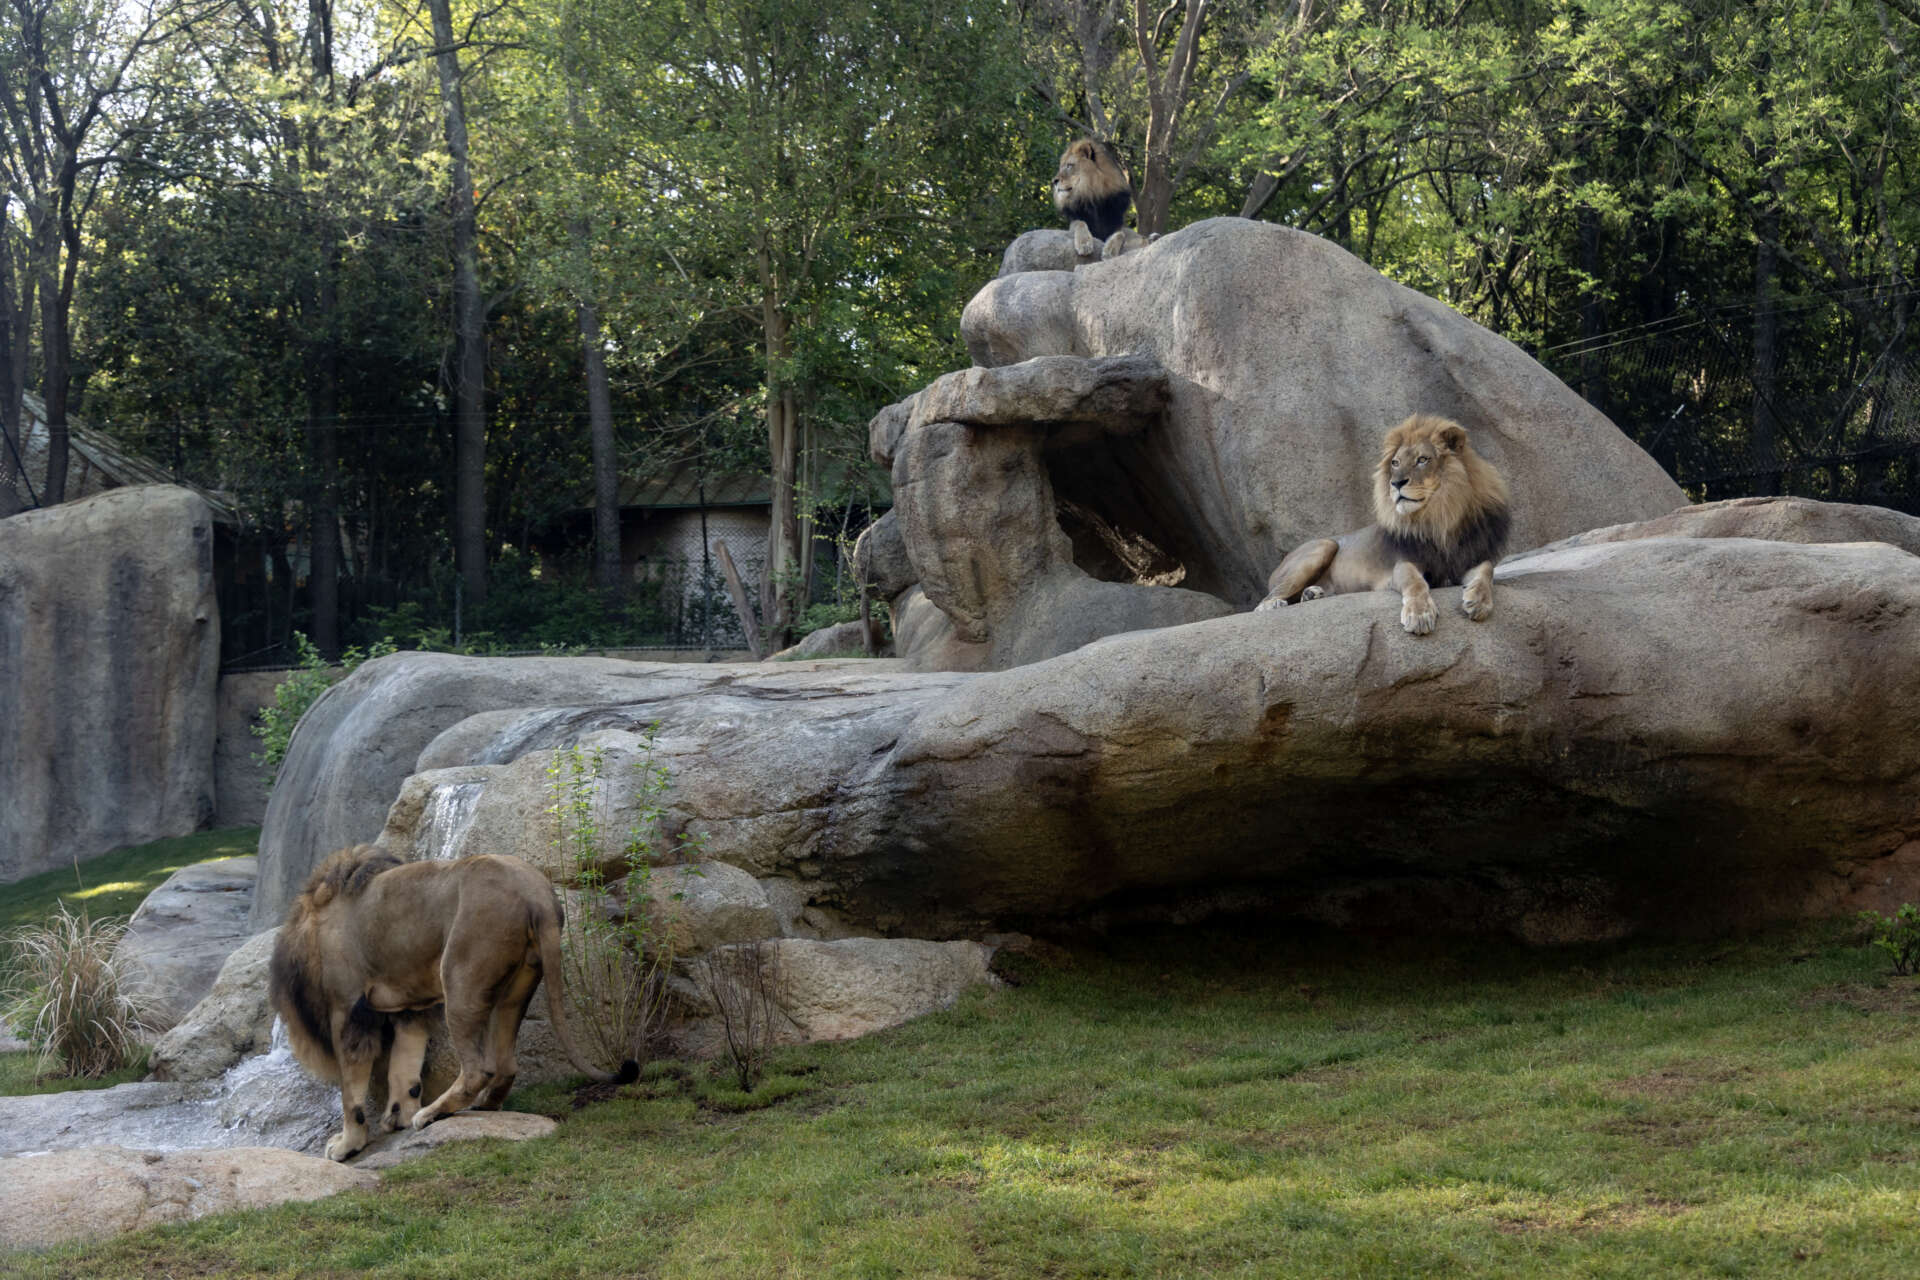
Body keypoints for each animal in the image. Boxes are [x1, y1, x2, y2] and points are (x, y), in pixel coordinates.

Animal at [269, 845, 637, 1161]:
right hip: (516, 988)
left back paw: (433, 1113)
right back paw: (484, 1106)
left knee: (478, 1068)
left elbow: (352, 1095)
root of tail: (537, 895)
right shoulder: (410, 1008)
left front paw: (347, 1145)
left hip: (460, 979)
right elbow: (405, 1069)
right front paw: (399, 1117)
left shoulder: (349, 1009)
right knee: (506, 1064)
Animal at [1254, 414, 1511, 635]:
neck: (1439, 517)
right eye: (1395, 462)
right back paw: (1274, 604)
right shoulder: (1402, 564)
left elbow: (1487, 570)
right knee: (1262, 602)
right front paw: (1419, 615)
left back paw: (1312, 594)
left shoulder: (1470, 558)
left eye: (1422, 459)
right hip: (1324, 545)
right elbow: (1414, 582)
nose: (1396, 483)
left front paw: (1478, 601)